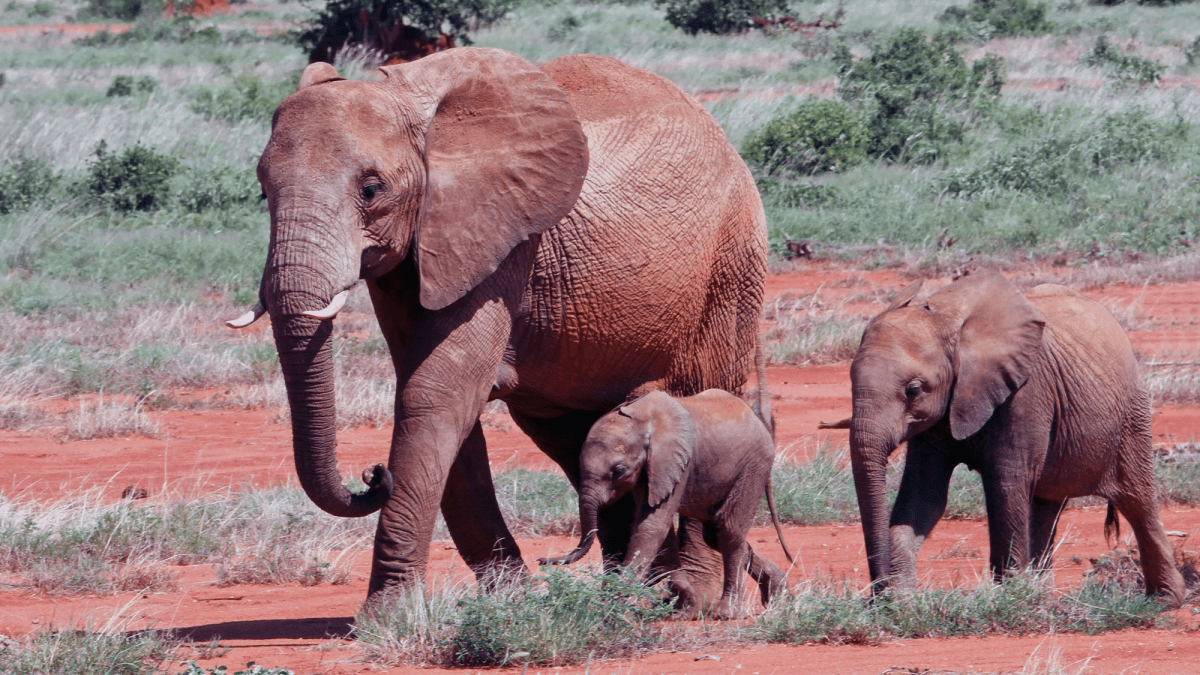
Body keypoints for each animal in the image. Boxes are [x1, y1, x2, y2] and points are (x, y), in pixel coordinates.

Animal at [227, 47, 770, 611]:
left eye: (372, 189)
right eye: (263, 189)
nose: (373, 474)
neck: (411, 104)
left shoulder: (506, 238)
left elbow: (435, 391)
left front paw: (385, 618)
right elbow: (435, 397)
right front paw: (509, 602)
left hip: (729, 267)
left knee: (705, 396)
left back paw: (689, 597)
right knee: (573, 434)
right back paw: (633, 591)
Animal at [539, 389, 794, 618]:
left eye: (618, 470)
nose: (541, 561)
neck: (643, 419)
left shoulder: (677, 459)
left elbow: (653, 525)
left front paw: (612, 611)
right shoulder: (649, 471)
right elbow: (655, 526)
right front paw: (684, 606)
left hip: (754, 467)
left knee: (728, 530)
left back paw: (728, 613)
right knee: (715, 534)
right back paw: (777, 593)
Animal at [837, 268, 1185, 607]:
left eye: (913, 390)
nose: (875, 598)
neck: (947, 319)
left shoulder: (1025, 394)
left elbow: (1005, 484)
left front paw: (1009, 598)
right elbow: (925, 496)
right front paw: (900, 602)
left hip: (1132, 415)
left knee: (1138, 500)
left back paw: (1165, 600)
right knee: (1046, 506)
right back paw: (1042, 596)